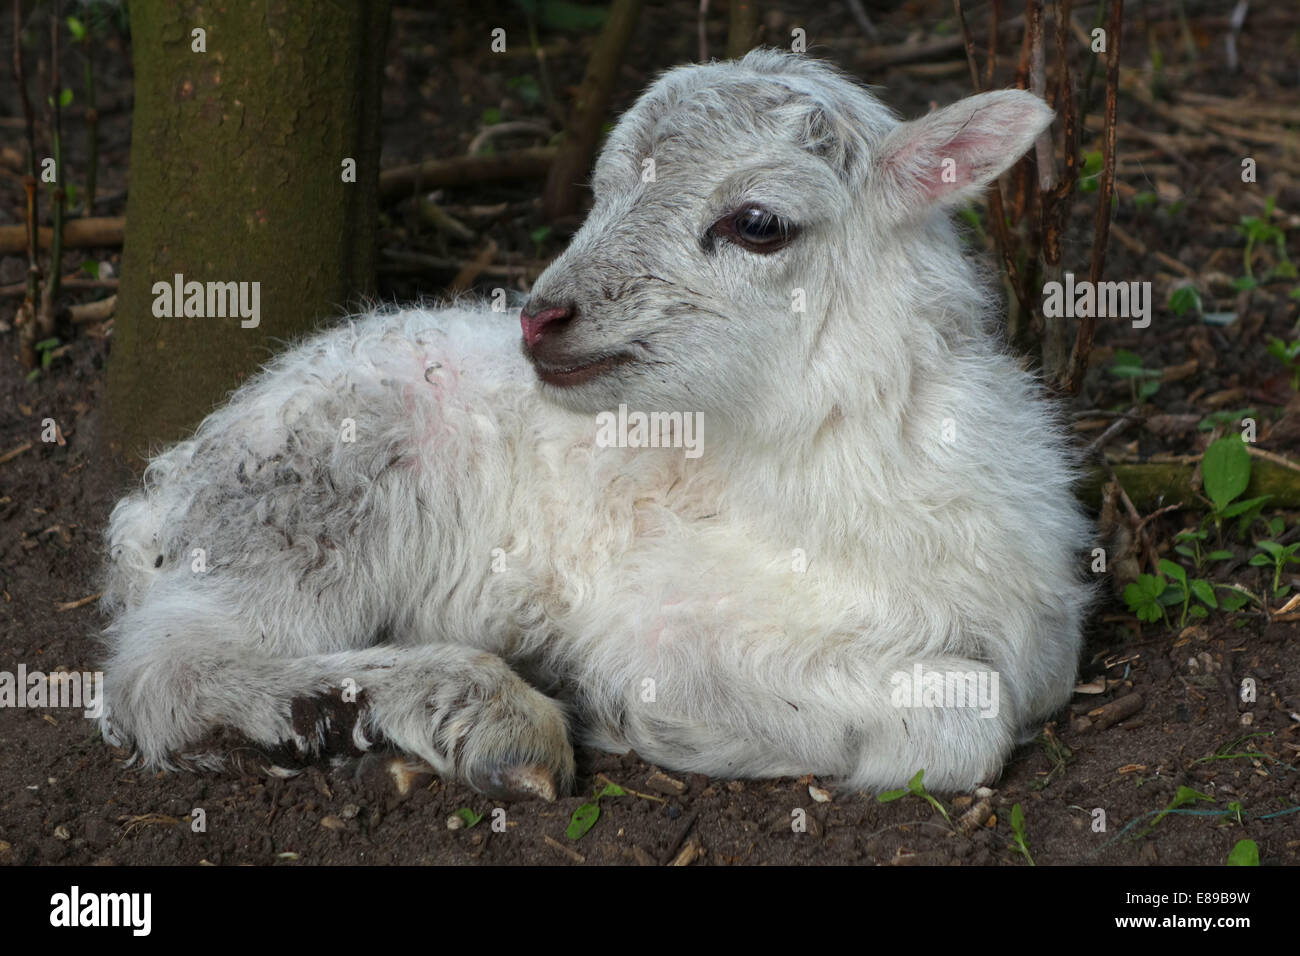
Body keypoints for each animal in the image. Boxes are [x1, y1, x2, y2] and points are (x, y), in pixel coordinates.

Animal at [98, 49, 1091, 801]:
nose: (542, 317)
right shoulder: (666, 621)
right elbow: (968, 711)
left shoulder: (1040, 618)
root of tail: (163, 495)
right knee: (167, 666)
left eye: (759, 223)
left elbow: (1029, 681)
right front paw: (640, 720)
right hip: (323, 492)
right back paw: (464, 715)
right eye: (603, 192)